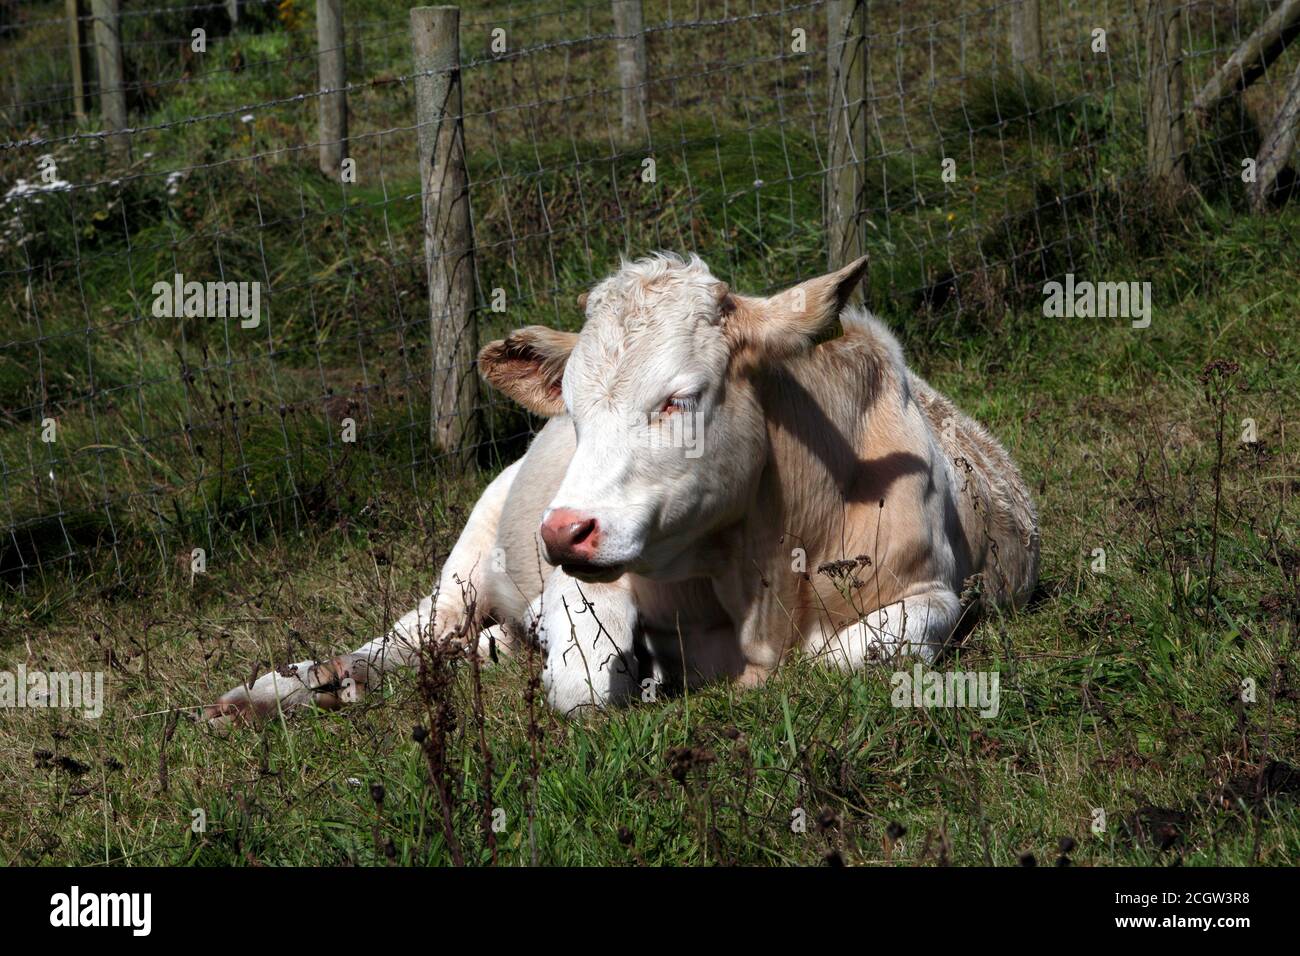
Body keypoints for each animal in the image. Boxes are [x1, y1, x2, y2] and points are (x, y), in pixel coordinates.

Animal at [206, 253, 1039, 723]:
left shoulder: (935, 592)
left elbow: (846, 656)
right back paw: (296, 687)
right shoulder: (583, 581)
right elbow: (580, 681)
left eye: (681, 397)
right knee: (407, 639)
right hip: (472, 551)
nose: (560, 530)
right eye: (572, 410)